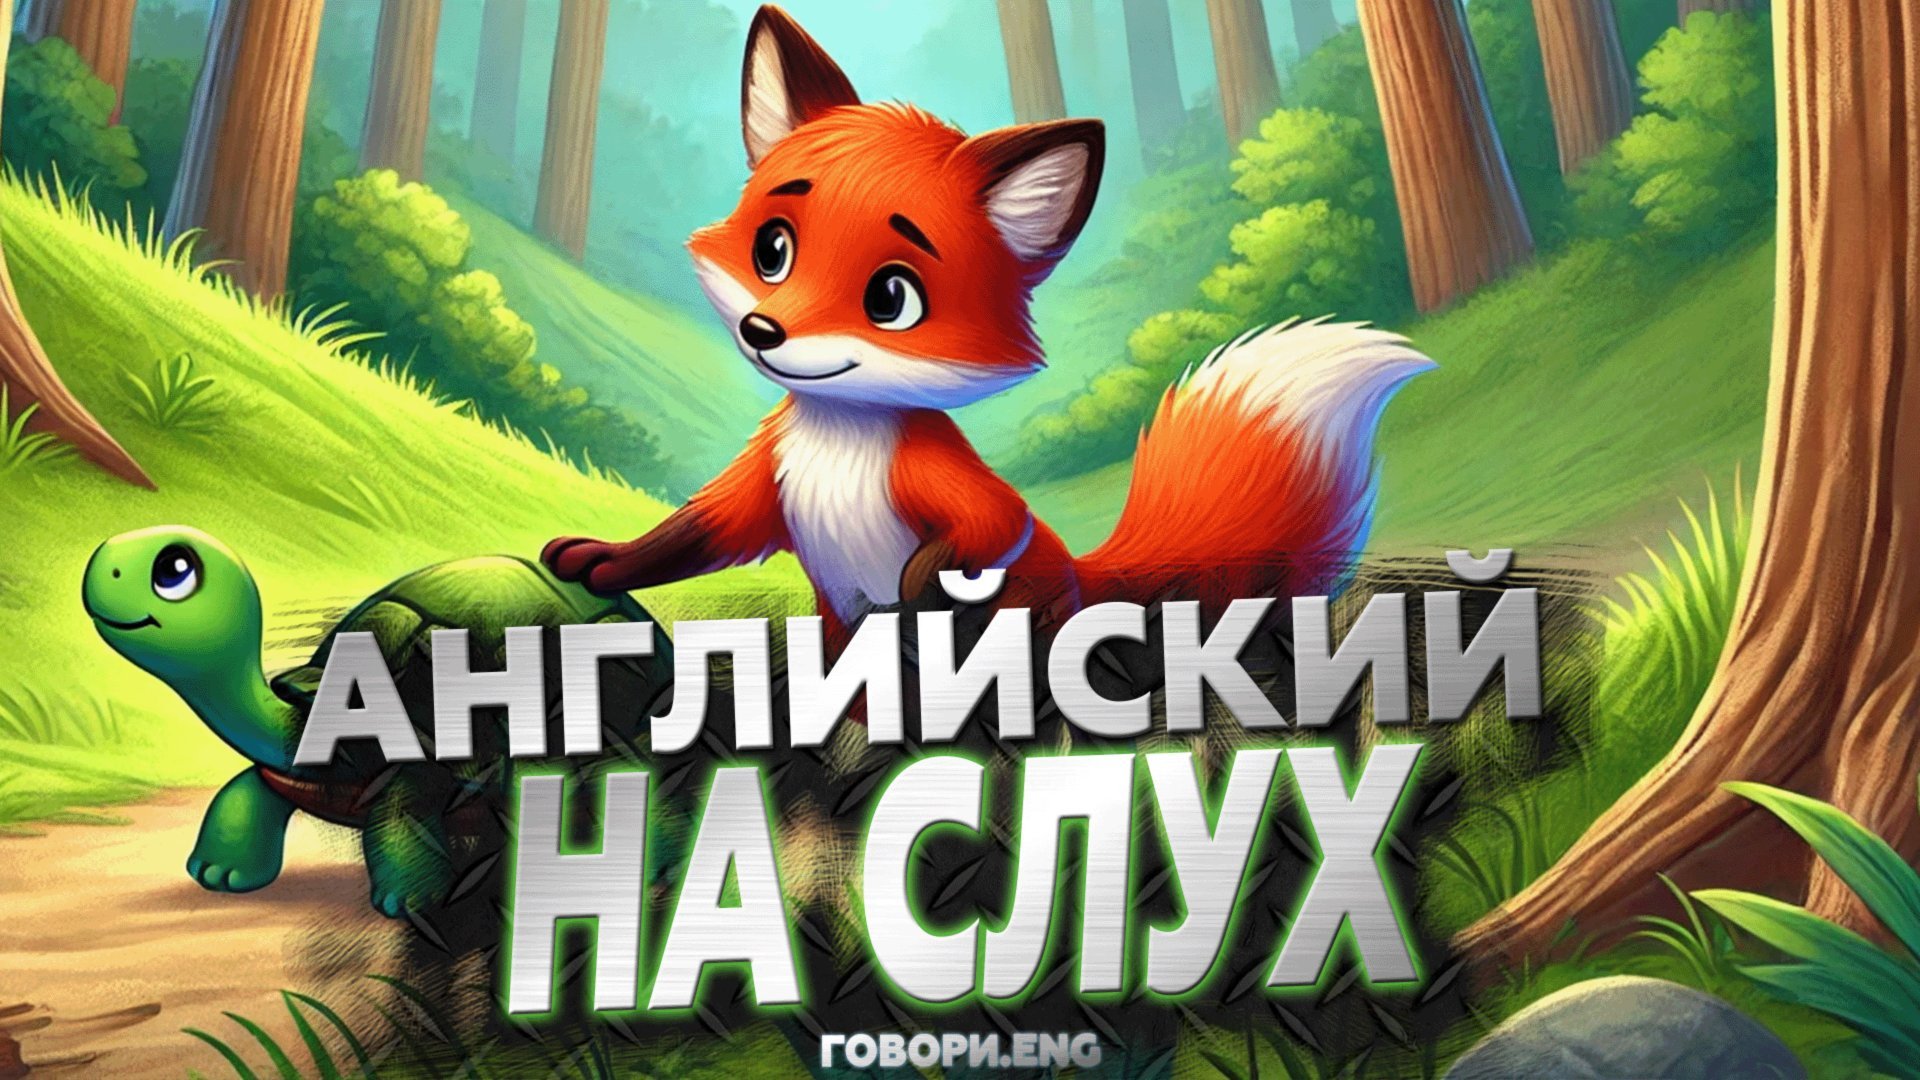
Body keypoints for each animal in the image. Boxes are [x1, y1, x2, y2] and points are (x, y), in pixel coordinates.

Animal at [544, 4, 1434, 659]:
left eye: (891, 297)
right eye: (773, 250)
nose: (766, 330)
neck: (839, 443)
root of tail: (1083, 577)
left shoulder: (950, 485)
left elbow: (985, 529)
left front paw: (920, 593)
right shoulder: (769, 478)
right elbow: (686, 536)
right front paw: (600, 560)